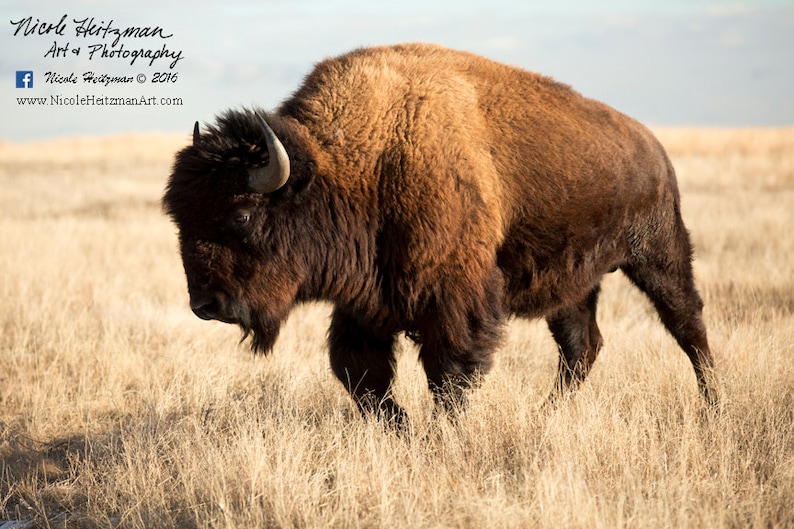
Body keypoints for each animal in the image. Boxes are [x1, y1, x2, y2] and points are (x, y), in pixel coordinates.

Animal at [163, 43, 718, 422]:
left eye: (241, 215)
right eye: (180, 218)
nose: (205, 305)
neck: (358, 164)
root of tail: (652, 146)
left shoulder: (453, 298)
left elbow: (449, 375)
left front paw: (437, 435)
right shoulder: (365, 303)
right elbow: (359, 374)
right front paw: (403, 429)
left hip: (658, 254)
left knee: (687, 324)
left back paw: (714, 407)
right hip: (571, 283)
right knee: (581, 347)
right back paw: (546, 415)